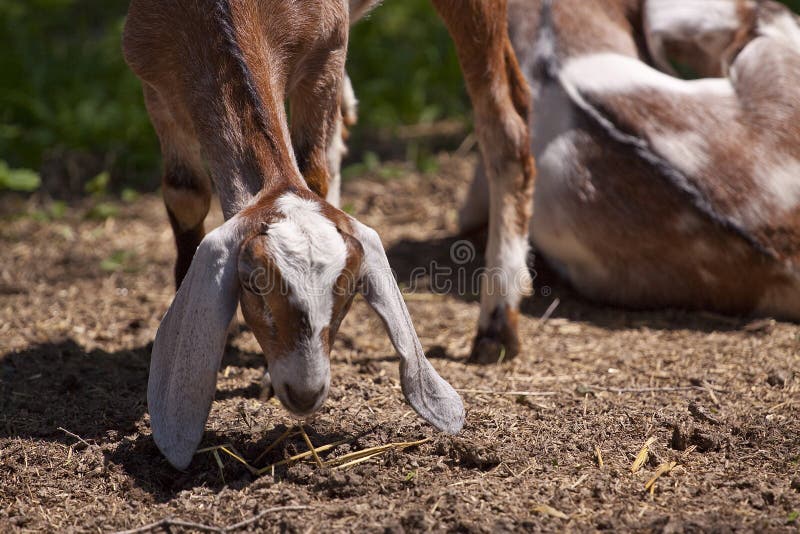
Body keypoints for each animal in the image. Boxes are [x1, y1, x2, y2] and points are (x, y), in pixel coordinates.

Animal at [122, 0, 470, 470]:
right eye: (253, 284)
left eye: (351, 289)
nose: (304, 393)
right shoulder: (154, 78)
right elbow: (186, 192)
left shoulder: (328, 50)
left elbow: (315, 171)